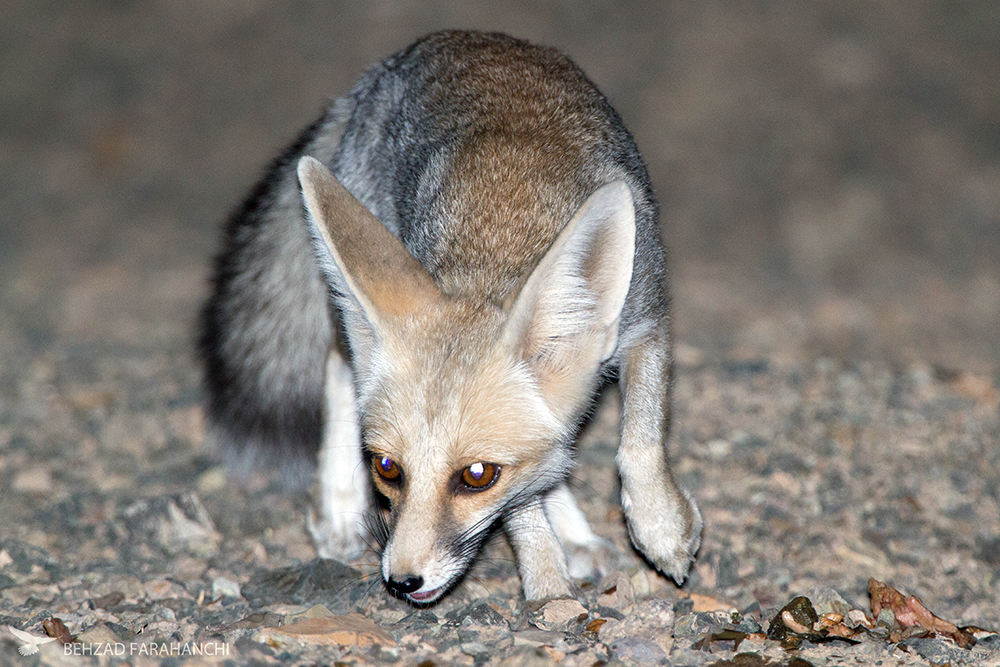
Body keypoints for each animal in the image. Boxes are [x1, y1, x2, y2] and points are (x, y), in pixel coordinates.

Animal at [199, 30, 701, 604]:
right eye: (387, 468)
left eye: (477, 475)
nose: (401, 581)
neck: (500, 236)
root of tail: (408, 53)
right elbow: (524, 511)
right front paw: (549, 590)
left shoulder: (646, 323)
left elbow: (639, 442)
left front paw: (660, 529)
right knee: (339, 359)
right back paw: (340, 505)